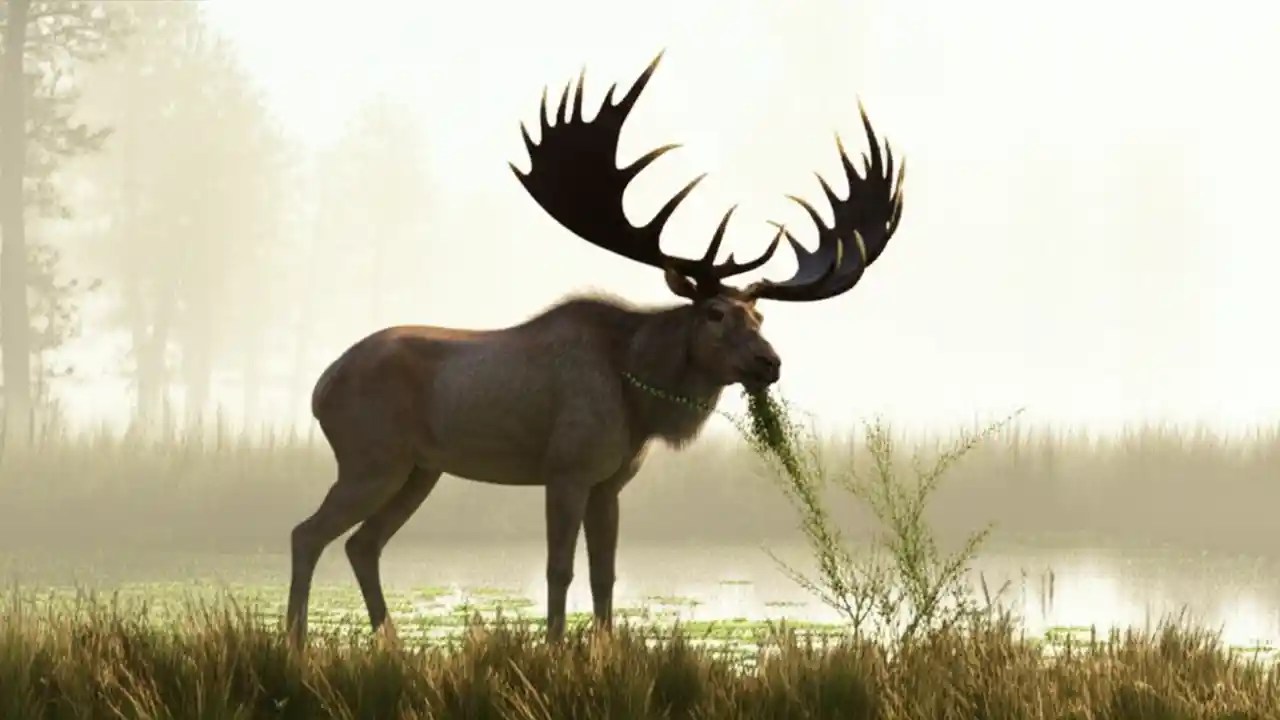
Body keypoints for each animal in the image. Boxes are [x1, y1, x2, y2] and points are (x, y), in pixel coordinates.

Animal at [286, 51, 905, 648]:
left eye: (759, 315)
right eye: (714, 312)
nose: (768, 363)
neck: (637, 396)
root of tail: (320, 387)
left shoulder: (610, 479)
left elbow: (605, 572)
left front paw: (603, 648)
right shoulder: (566, 467)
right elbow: (559, 569)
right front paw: (556, 648)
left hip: (419, 469)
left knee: (362, 544)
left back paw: (387, 641)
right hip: (370, 456)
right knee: (307, 532)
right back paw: (295, 640)